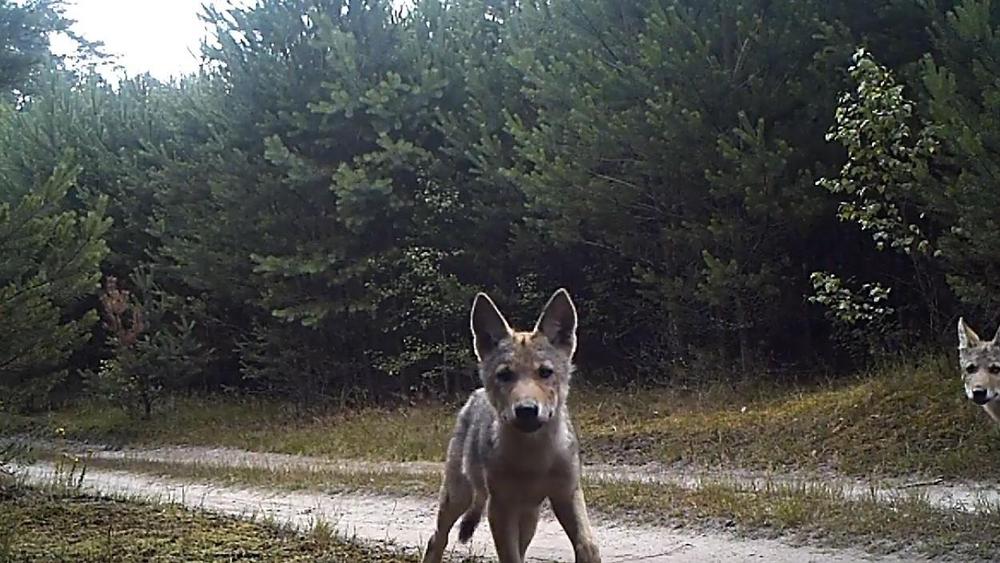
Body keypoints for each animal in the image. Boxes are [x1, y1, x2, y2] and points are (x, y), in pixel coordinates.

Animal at [420, 288, 601, 563]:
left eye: (545, 372)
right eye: (505, 375)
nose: (526, 410)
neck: (533, 459)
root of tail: (475, 395)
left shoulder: (567, 495)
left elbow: (587, 545)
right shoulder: (500, 508)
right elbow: (510, 555)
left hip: (529, 516)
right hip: (458, 497)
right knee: (436, 539)